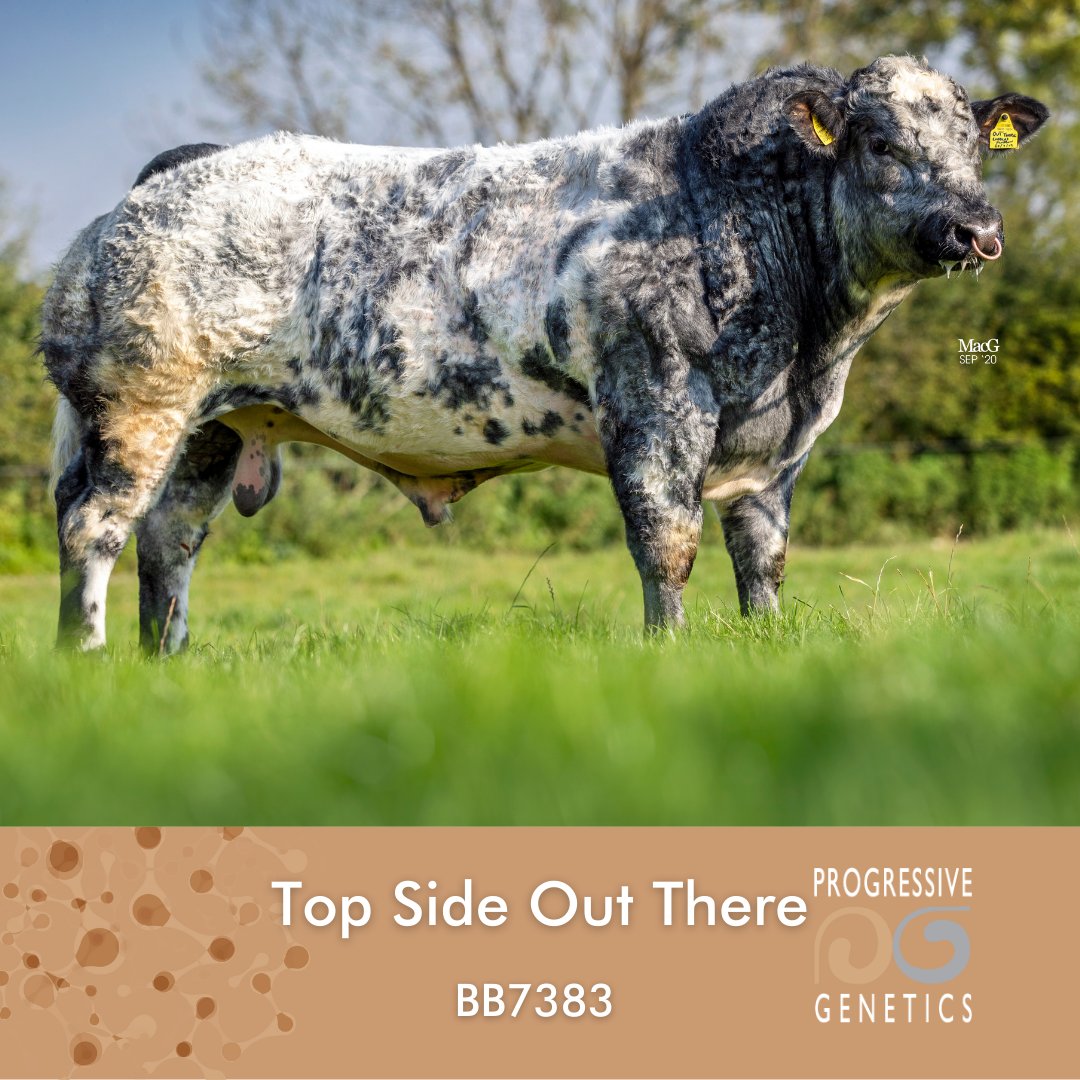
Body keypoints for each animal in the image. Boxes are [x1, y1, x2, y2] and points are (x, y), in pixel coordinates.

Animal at [42, 55, 1047, 653]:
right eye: (879, 141)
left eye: (975, 146)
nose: (976, 227)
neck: (807, 355)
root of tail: (178, 171)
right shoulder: (654, 407)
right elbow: (667, 545)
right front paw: (669, 651)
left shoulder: (775, 453)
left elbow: (762, 558)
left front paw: (763, 646)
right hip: (138, 406)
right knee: (96, 527)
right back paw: (87, 657)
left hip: (213, 427)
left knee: (169, 540)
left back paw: (163, 662)